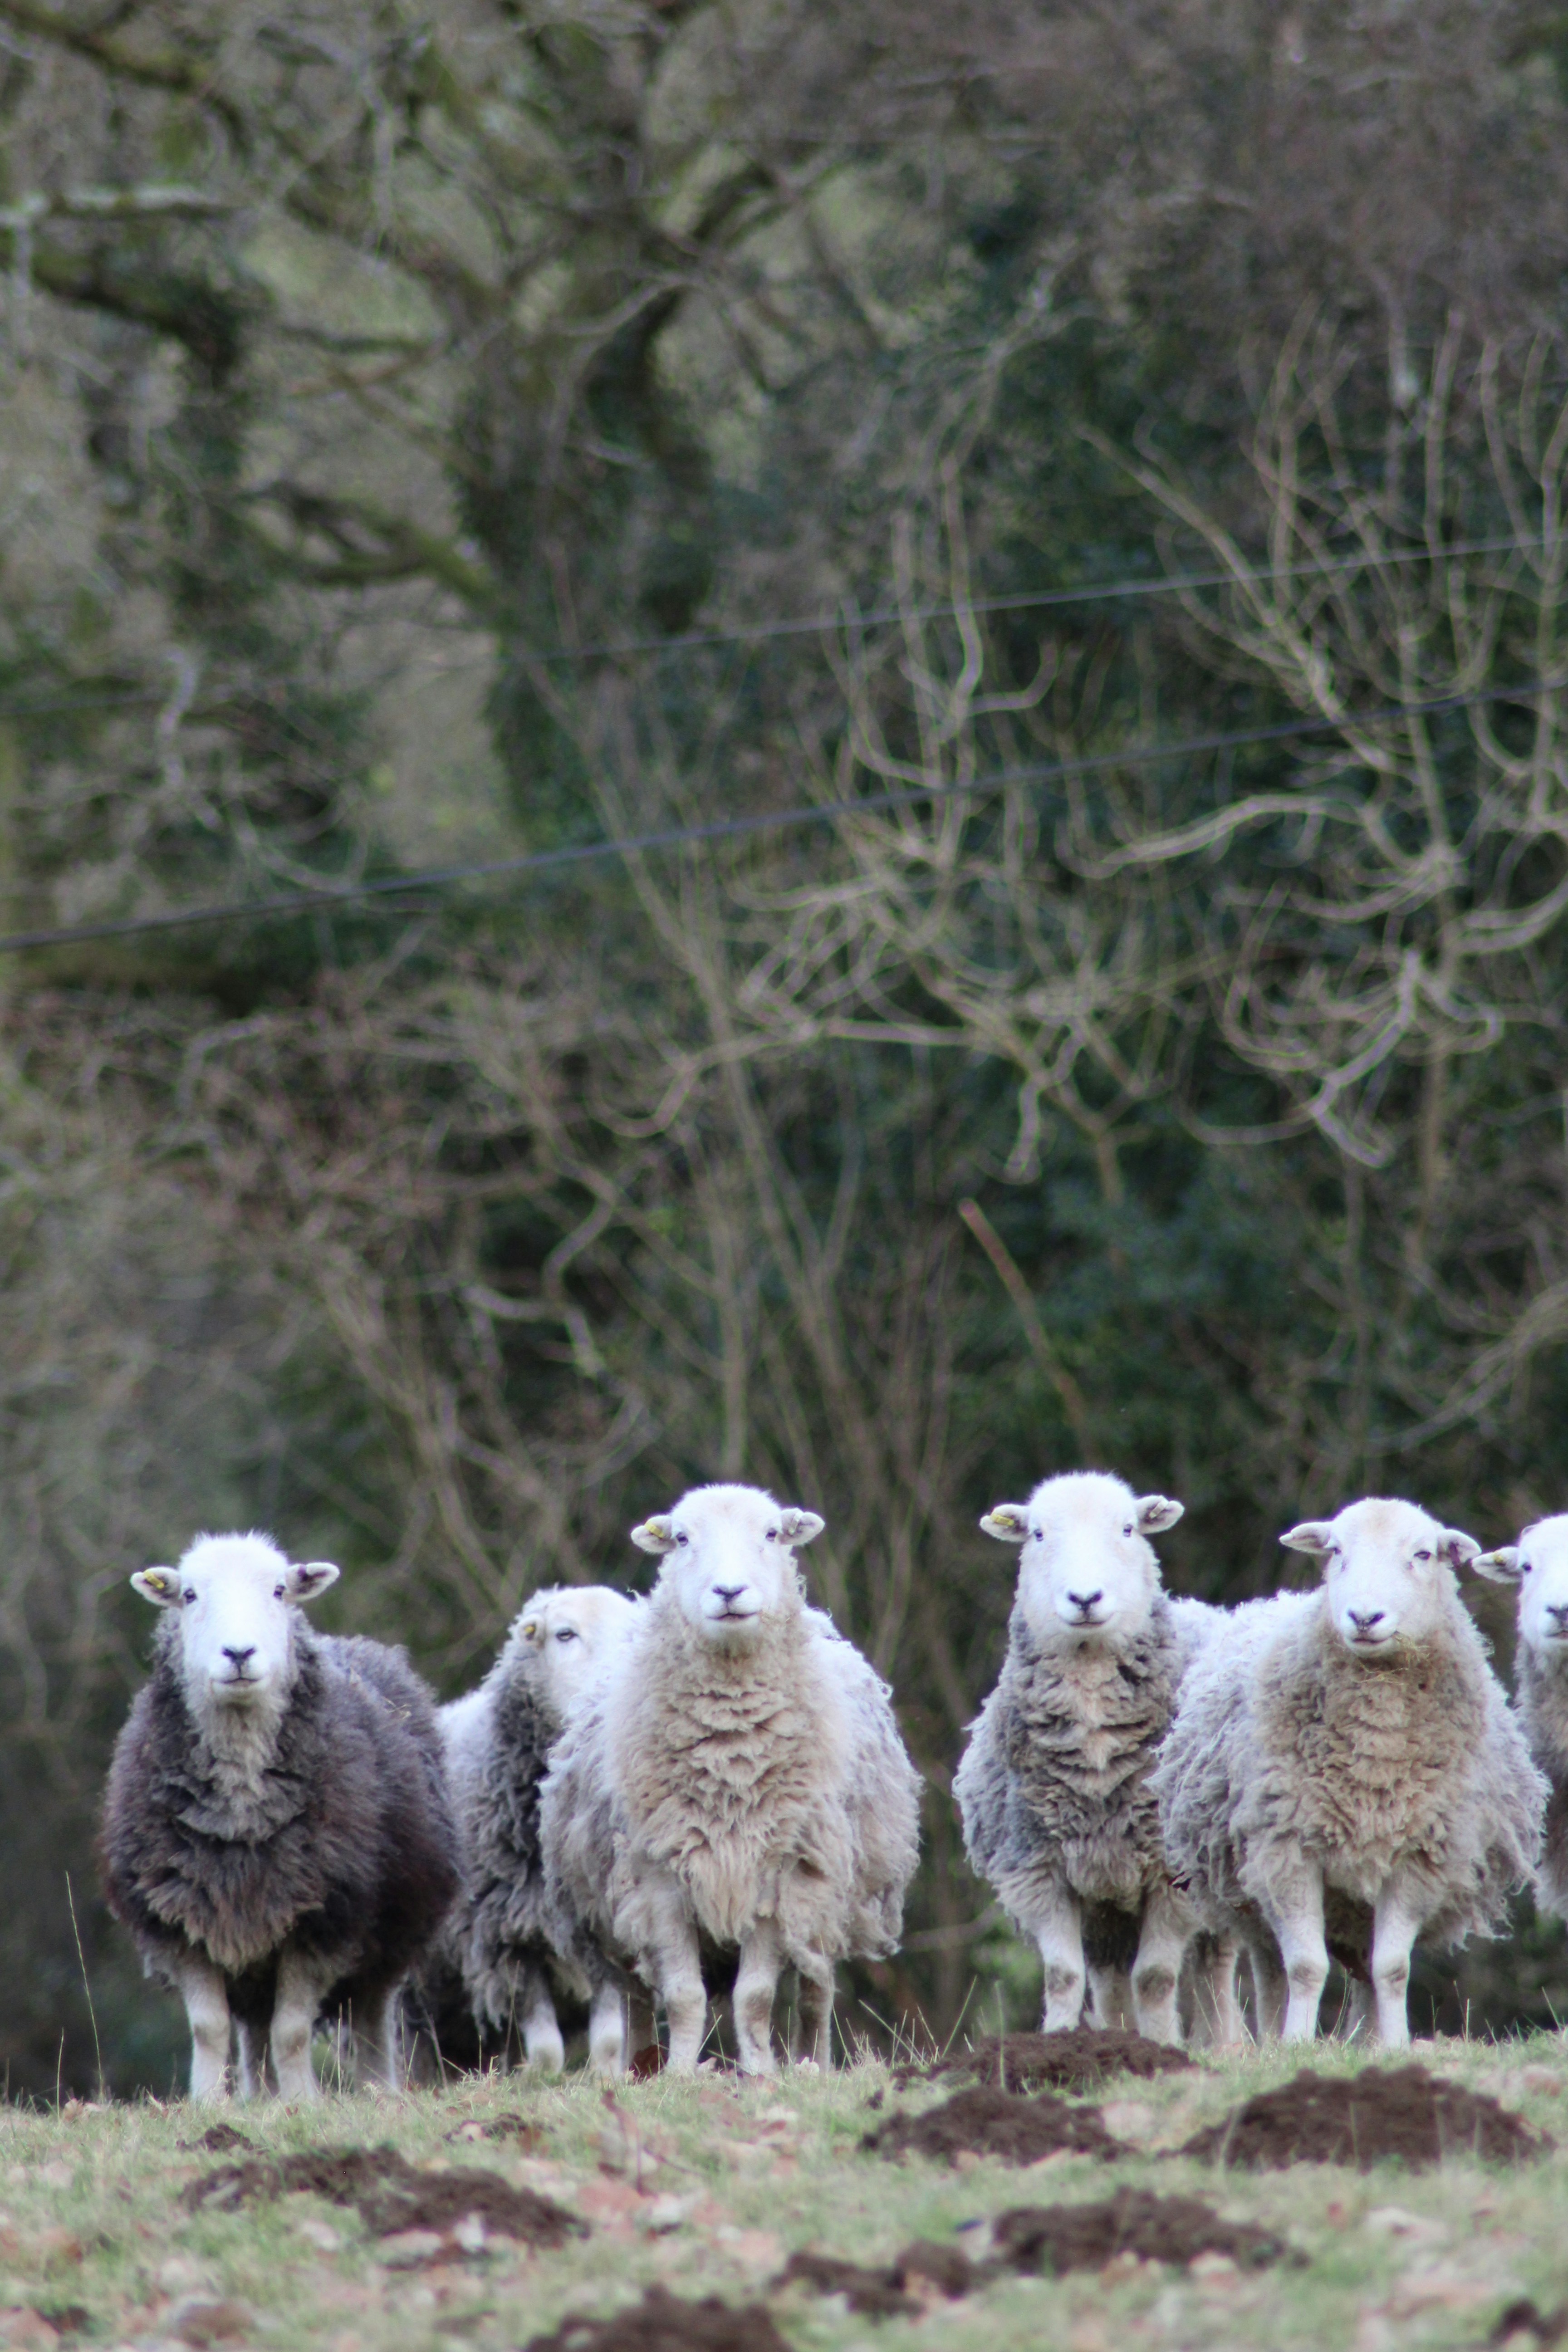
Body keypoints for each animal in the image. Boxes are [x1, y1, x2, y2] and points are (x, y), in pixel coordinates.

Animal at [100, 1531, 457, 2101]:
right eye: (189, 1596)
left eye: (279, 1591)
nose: (239, 1653)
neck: (240, 1803)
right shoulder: (181, 1917)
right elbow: (210, 2027)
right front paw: (208, 2103)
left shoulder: (322, 1916)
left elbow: (292, 2029)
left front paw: (304, 2102)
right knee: (254, 2029)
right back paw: (259, 2097)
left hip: (388, 1934)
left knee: (371, 2017)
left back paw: (378, 2091)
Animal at [422, 1583, 639, 2076]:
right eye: (565, 1634)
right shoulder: (507, 1936)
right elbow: (546, 2050)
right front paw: (542, 2081)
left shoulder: (599, 1920)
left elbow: (610, 2039)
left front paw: (607, 2078)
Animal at [539, 1483, 922, 2075]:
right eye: (680, 1538)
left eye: (772, 1533)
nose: (729, 1591)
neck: (729, 1752)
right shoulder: (657, 1877)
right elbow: (683, 1994)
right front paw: (679, 2075)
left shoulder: (777, 1874)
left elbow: (756, 1996)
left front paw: (761, 2072)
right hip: (617, 1904)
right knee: (634, 1995)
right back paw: (640, 2068)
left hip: (826, 1892)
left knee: (816, 1990)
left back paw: (812, 2064)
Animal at [952, 1469, 1221, 2046]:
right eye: (1036, 1535)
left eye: (1128, 1529)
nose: (1084, 1597)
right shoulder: (1037, 1867)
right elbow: (1062, 1975)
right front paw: (1059, 2045)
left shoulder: (1172, 1875)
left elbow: (1156, 1978)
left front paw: (1163, 2048)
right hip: (1105, 1908)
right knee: (1110, 1980)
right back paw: (1113, 2038)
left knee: (1215, 1970)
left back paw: (1225, 2041)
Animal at [1151, 1496, 1547, 2046]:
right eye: (1336, 1551)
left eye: (1424, 1554)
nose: (1364, 1617)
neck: (1374, 1750)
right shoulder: (1287, 1850)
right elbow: (1305, 1966)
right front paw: (1297, 2046)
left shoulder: (1418, 1858)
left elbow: (1392, 1968)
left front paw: (1396, 2046)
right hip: (1254, 1883)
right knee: (1272, 1966)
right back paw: (1276, 2040)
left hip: (1359, 1904)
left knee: (1363, 1968)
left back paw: (1365, 2040)